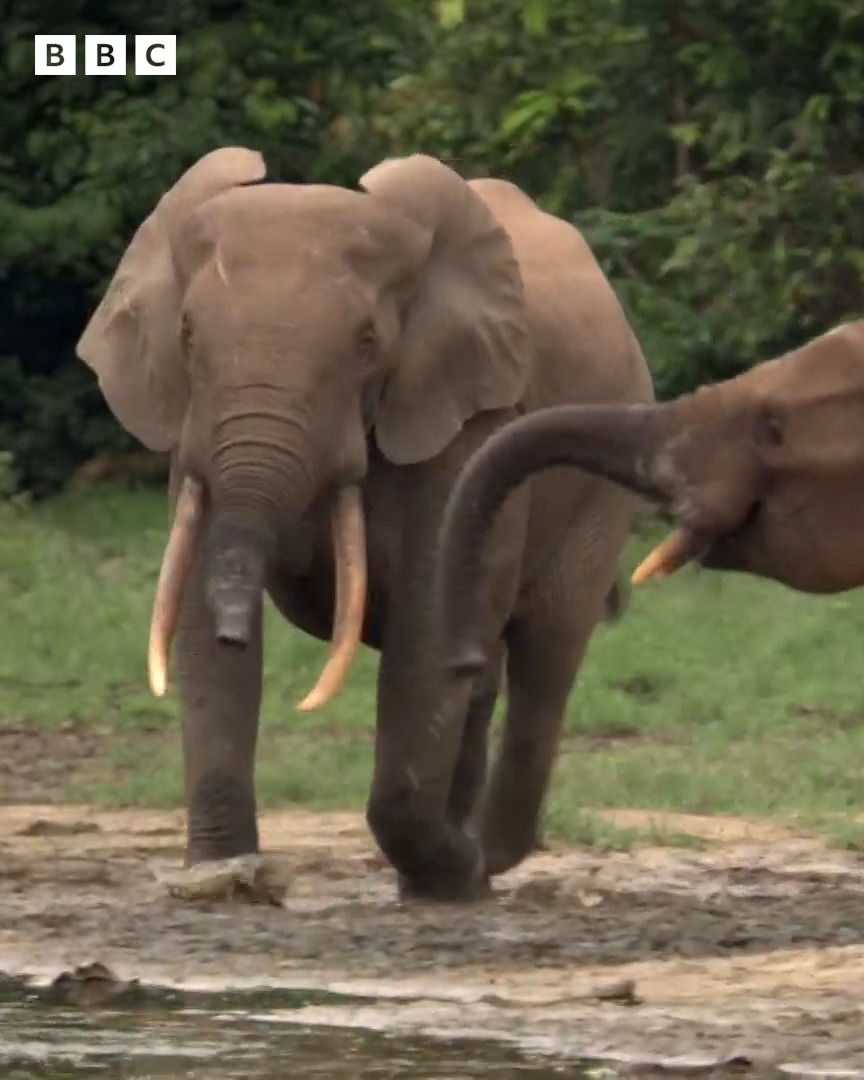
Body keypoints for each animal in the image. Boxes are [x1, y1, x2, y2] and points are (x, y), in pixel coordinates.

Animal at [75, 146, 653, 902]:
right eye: (188, 336)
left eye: (368, 341)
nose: (238, 630)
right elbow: (201, 626)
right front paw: (223, 877)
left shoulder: (463, 416)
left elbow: (426, 631)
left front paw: (453, 870)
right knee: (483, 666)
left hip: (602, 485)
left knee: (544, 657)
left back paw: (480, 862)